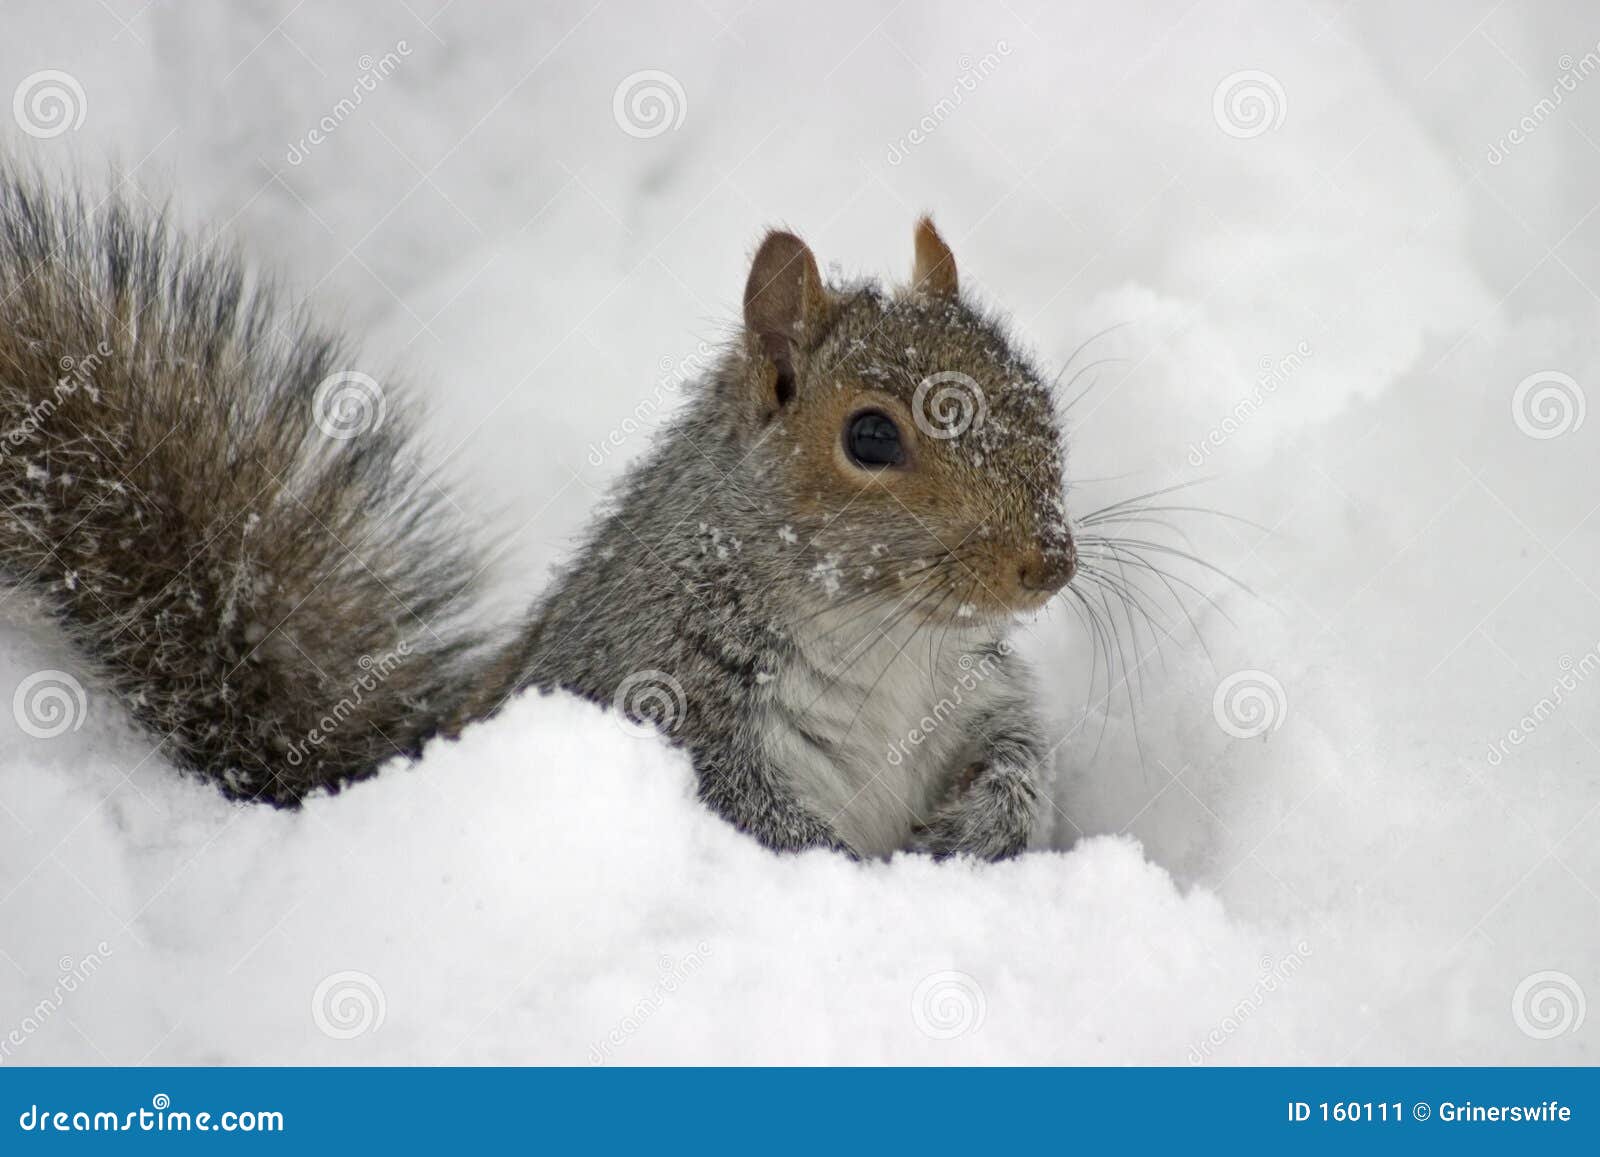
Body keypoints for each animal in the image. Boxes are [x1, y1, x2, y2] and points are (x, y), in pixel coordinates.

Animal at [0, 167, 1076, 861]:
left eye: (1036, 391)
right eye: (871, 437)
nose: (1050, 563)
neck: (883, 638)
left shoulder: (970, 696)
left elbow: (1022, 756)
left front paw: (988, 824)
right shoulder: (658, 692)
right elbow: (749, 818)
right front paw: (843, 867)